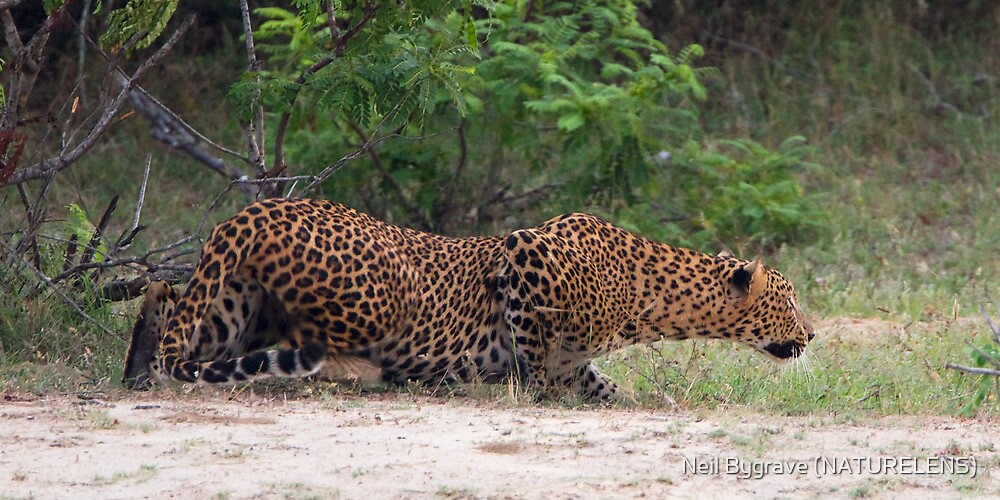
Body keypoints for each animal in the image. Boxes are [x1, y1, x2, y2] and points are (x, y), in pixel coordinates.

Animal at [123, 198, 815, 399]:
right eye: (790, 300)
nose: (812, 335)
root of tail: (262, 206)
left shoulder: (580, 359)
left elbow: (600, 385)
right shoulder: (525, 253)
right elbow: (535, 356)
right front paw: (525, 388)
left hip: (234, 307)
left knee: (167, 312)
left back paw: (137, 362)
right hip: (381, 298)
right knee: (311, 345)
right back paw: (370, 373)